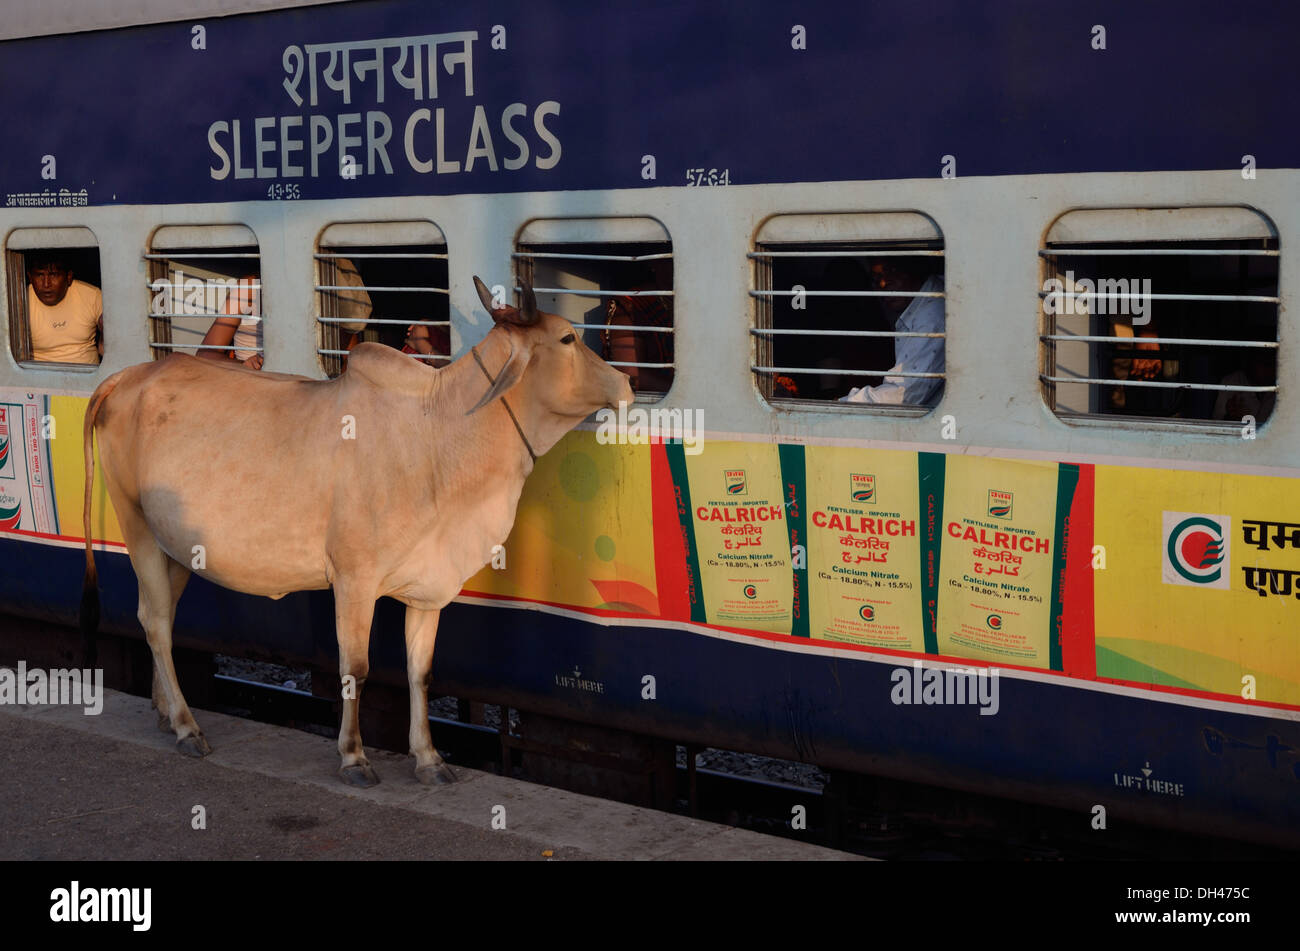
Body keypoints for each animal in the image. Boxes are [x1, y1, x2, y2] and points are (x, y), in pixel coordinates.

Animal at [80, 277, 633, 787]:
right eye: (567, 338)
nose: (626, 383)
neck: (441, 433)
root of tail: (129, 375)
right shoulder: (354, 580)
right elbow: (356, 669)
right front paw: (353, 757)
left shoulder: (427, 586)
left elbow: (421, 672)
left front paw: (429, 759)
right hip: (136, 526)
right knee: (153, 621)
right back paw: (185, 725)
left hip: (175, 547)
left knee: (164, 617)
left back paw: (162, 710)